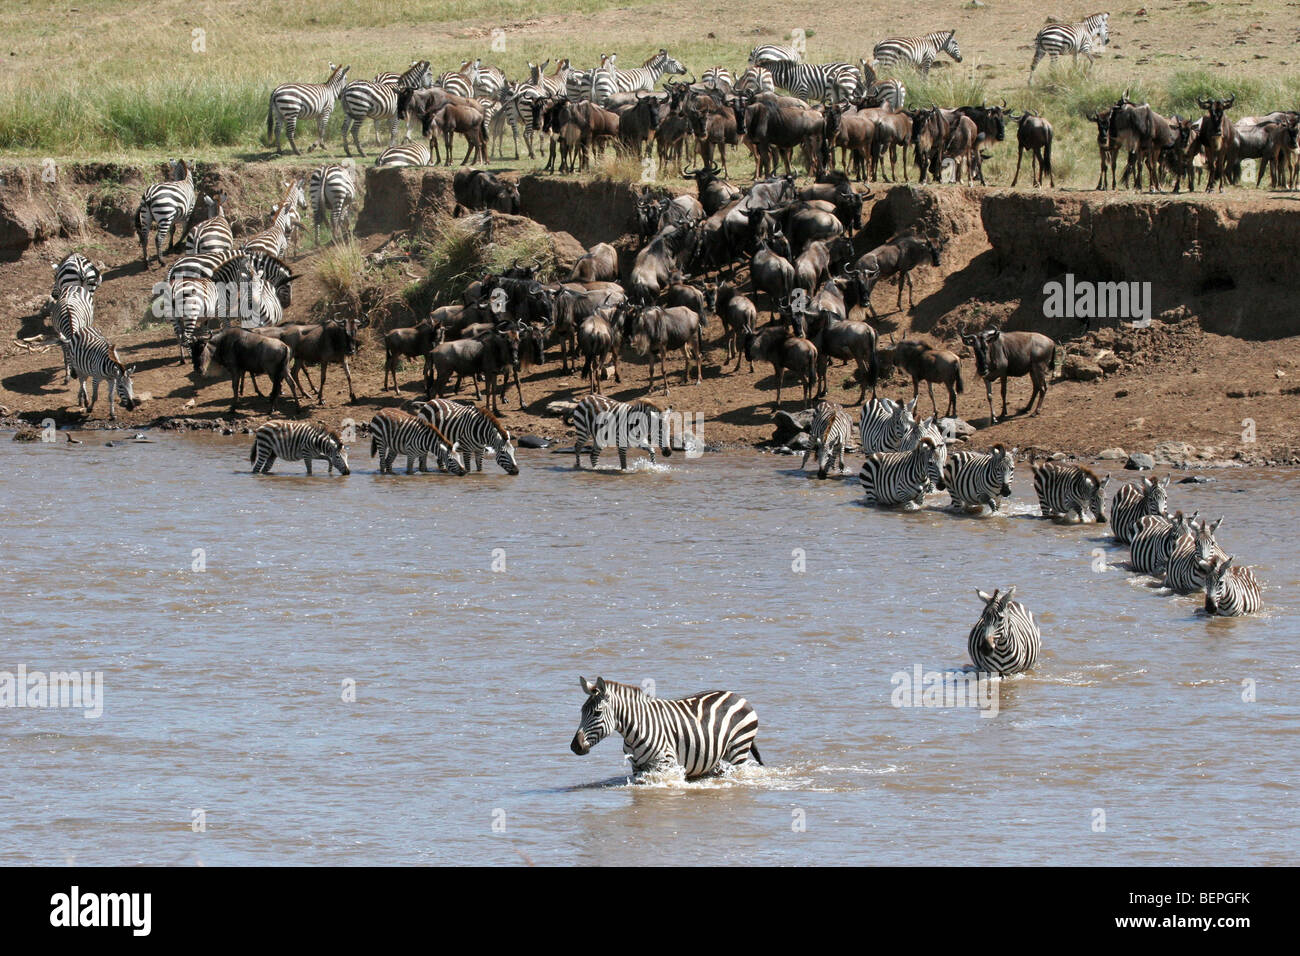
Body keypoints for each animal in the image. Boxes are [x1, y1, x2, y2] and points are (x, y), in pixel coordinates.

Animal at [570, 676, 762, 779]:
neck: (635, 731)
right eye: (581, 711)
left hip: (739, 748)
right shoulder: (637, 768)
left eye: (597, 713)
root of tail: (738, 696)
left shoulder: (666, 763)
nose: (575, 746)